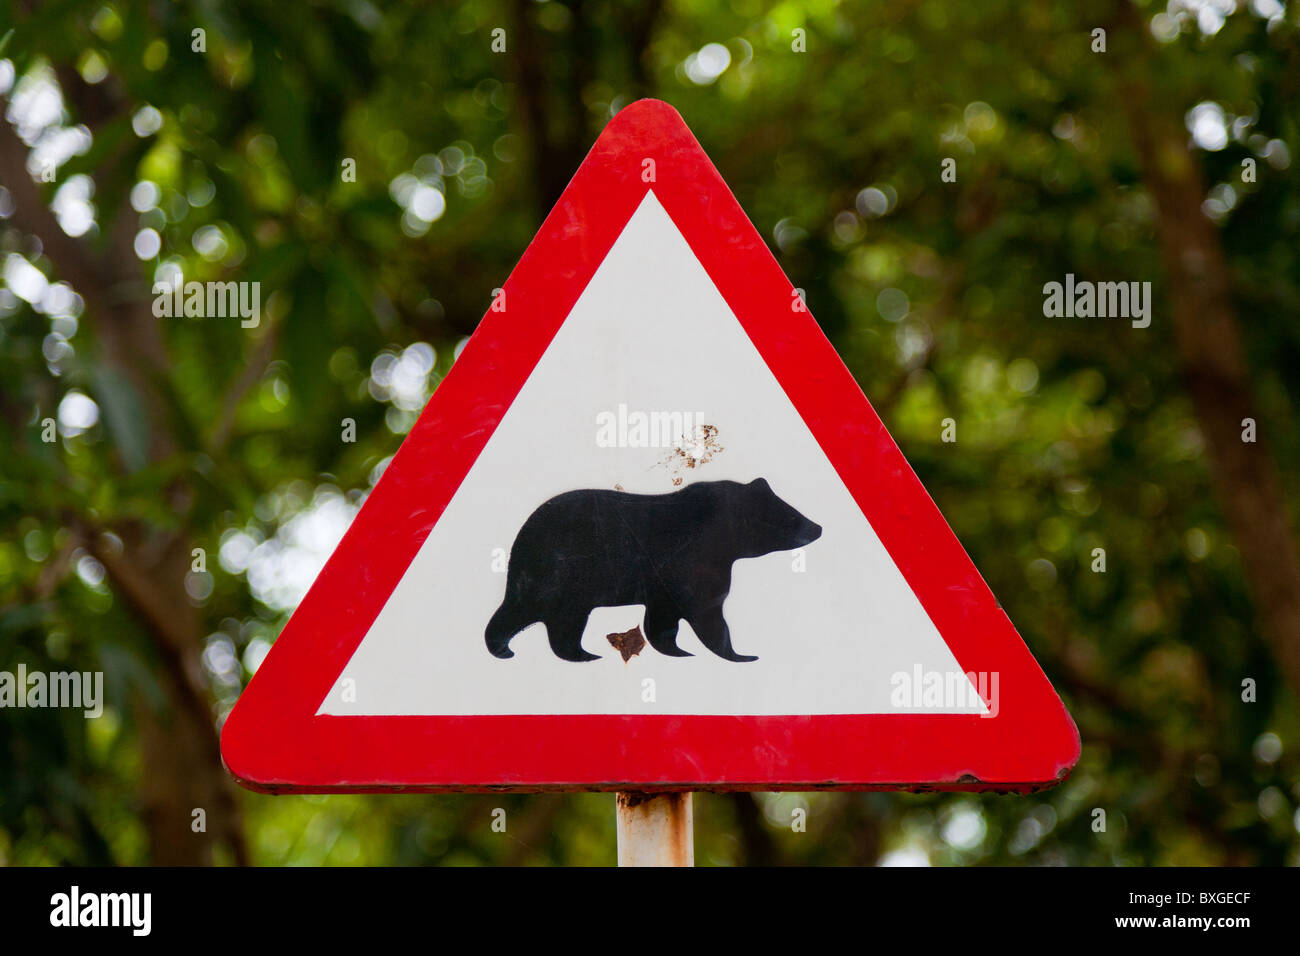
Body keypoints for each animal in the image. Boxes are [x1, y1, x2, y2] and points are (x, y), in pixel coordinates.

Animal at [485, 478, 822, 663]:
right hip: (558, 577)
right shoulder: (692, 566)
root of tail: (521, 540)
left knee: (561, 625)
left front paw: (678, 650)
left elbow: (662, 620)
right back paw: (507, 648)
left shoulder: (664, 586)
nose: (817, 527)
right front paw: (741, 654)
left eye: (791, 508)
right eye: (790, 517)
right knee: (526, 613)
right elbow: (707, 615)